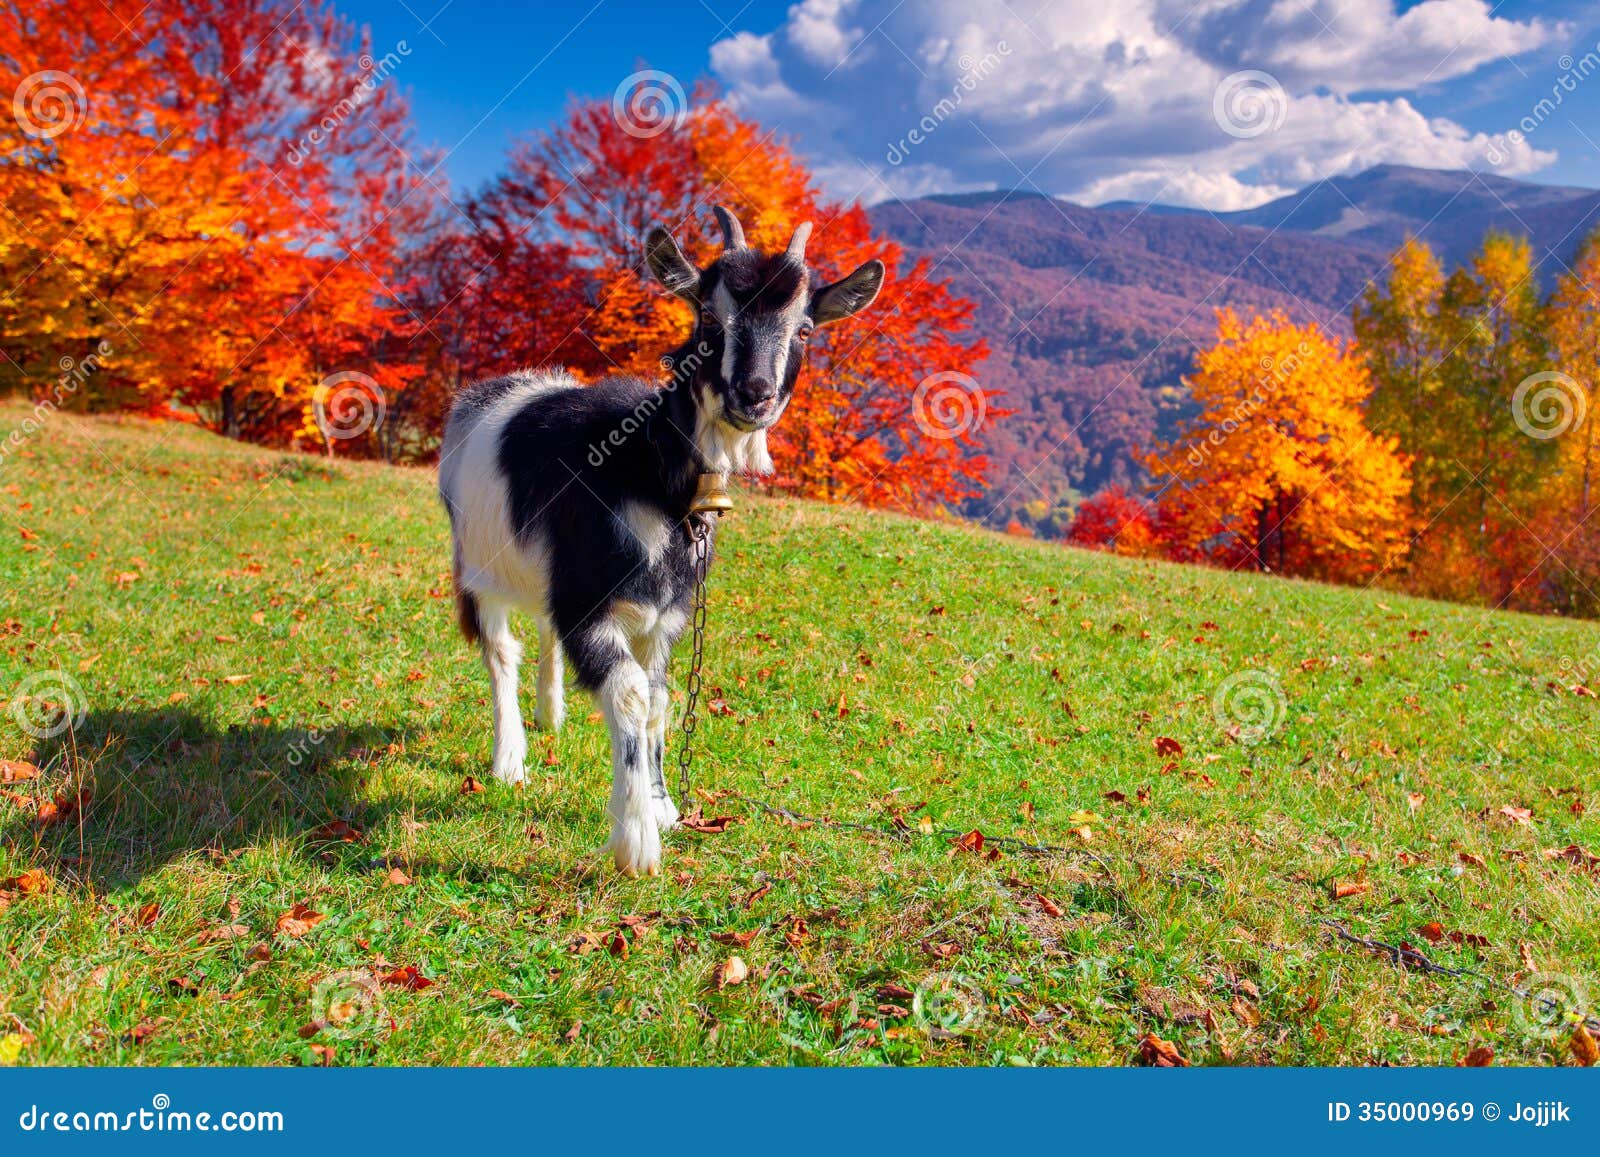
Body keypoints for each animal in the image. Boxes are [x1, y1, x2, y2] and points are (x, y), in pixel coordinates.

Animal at [437, 205, 885, 876]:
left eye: (805, 329)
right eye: (709, 316)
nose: (754, 394)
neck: (654, 476)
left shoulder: (666, 614)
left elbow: (659, 701)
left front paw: (665, 805)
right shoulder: (589, 605)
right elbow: (628, 696)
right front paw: (638, 840)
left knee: (541, 628)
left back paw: (550, 714)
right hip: (475, 565)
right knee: (500, 652)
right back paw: (510, 759)